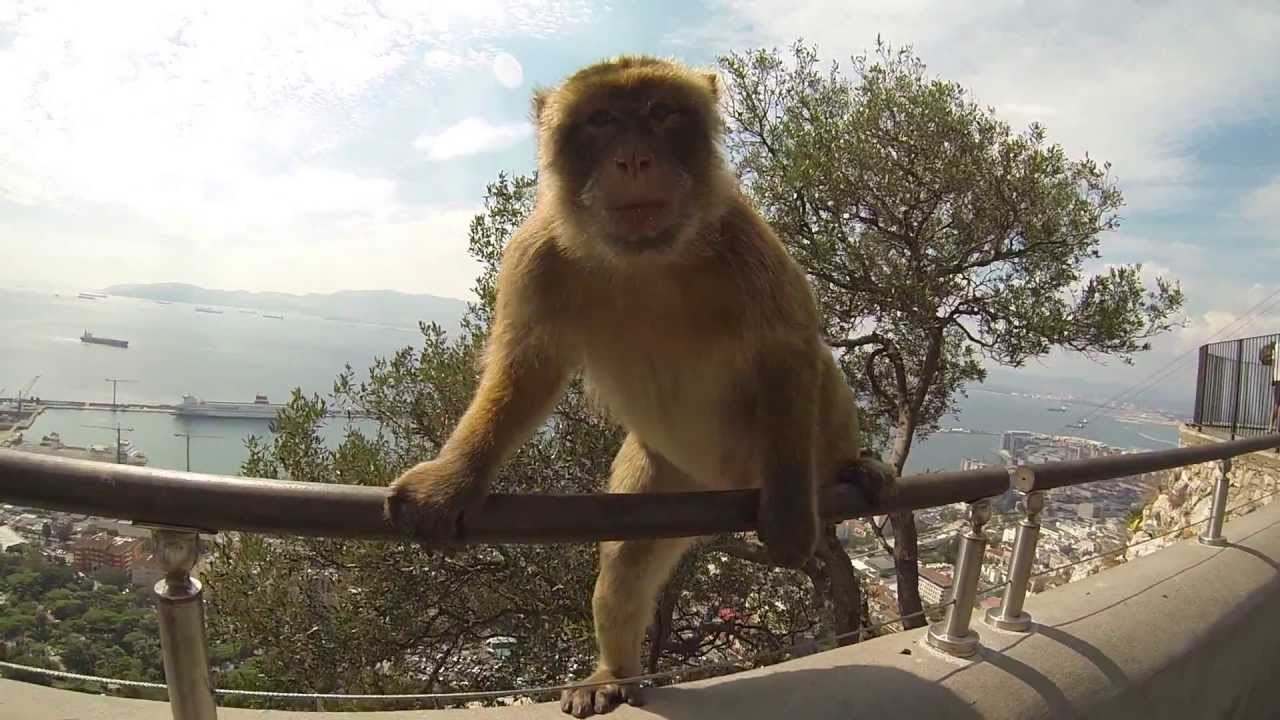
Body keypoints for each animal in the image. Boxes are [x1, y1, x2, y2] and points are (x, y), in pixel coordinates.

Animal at [385, 55, 897, 717]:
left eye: (660, 113)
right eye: (602, 120)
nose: (633, 159)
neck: (646, 257)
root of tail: (724, 479)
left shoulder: (745, 241)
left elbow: (786, 351)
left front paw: (788, 510)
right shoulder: (537, 257)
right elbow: (526, 372)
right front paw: (454, 481)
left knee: (819, 372)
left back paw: (850, 468)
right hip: (667, 474)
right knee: (626, 561)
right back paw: (615, 672)